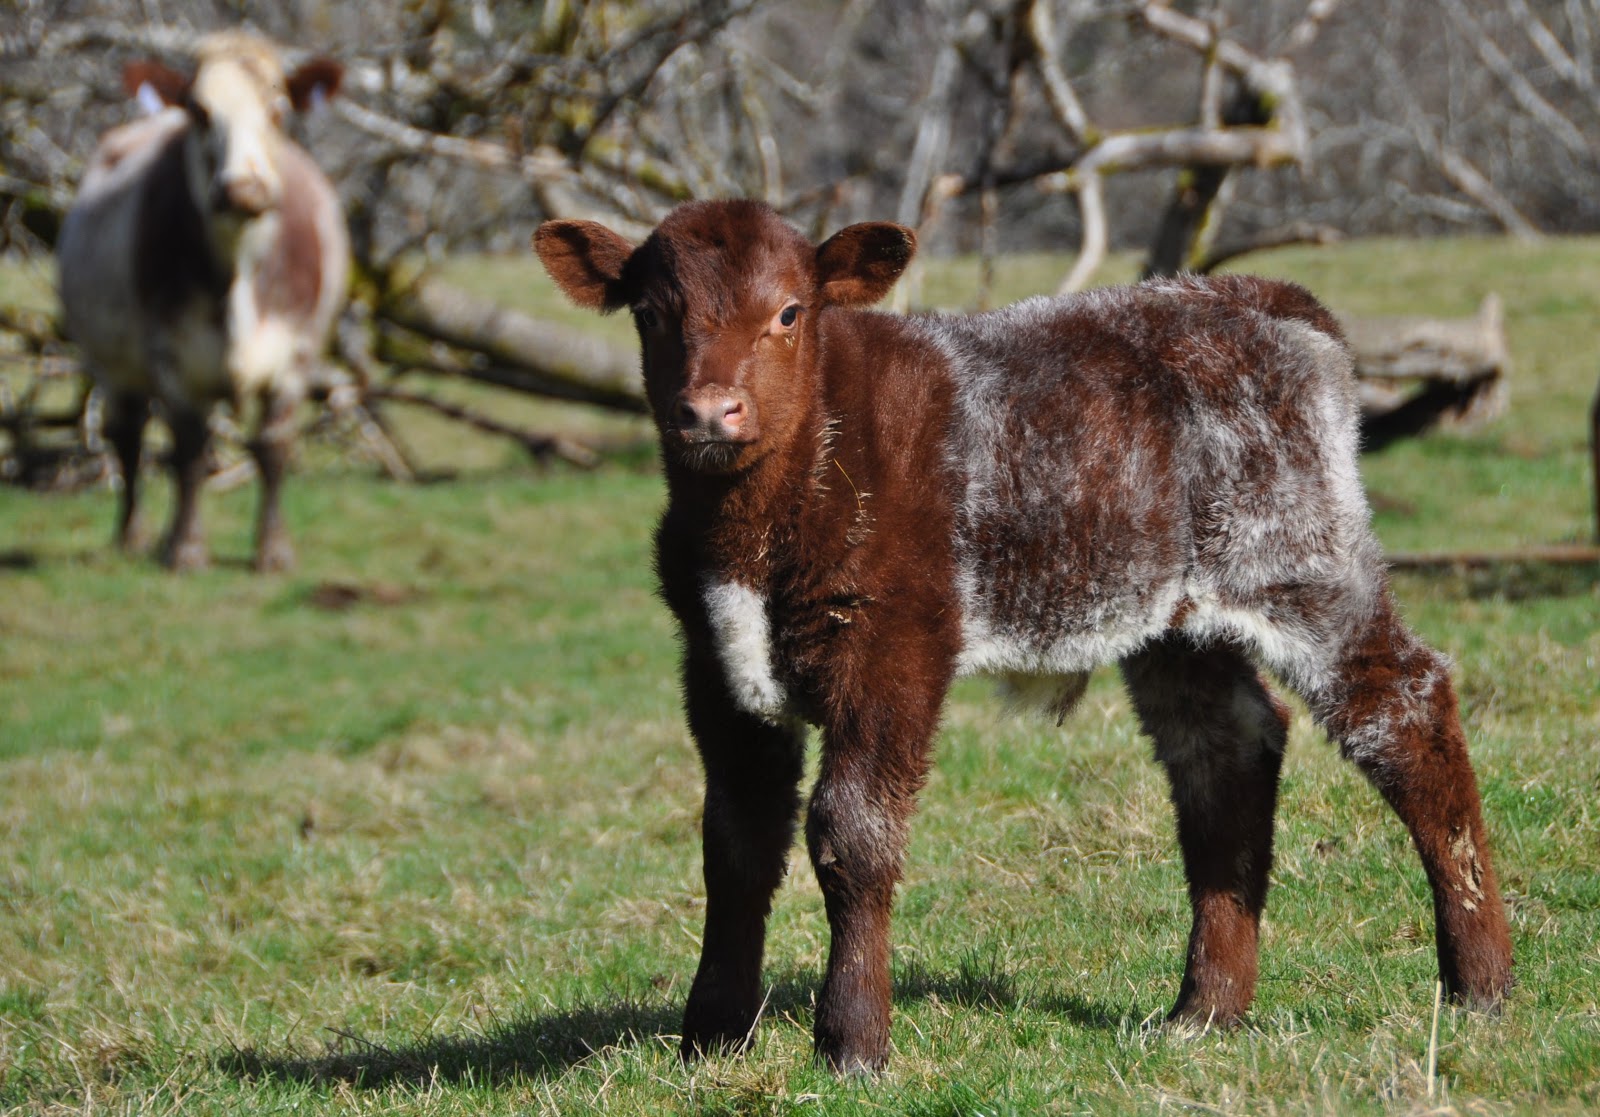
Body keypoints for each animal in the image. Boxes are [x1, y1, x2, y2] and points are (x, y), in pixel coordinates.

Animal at [57, 31, 349, 571]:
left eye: (278, 110)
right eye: (200, 111)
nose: (244, 189)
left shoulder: (296, 354)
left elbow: (273, 447)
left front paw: (273, 551)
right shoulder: (171, 356)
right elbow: (189, 450)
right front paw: (185, 548)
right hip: (112, 362)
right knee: (128, 437)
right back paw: (132, 534)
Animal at [533, 200, 1513, 1073]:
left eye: (788, 311)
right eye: (652, 313)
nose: (710, 411)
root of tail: (1268, 296)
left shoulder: (897, 641)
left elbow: (851, 831)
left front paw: (851, 1043)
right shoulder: (715, 664)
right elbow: (735, 842)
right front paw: (710, 1039)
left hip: (1302, 560)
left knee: (1405, 707)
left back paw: (1480, 984)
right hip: (1174, 617)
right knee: (1227, 746)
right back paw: (1205, 1010)